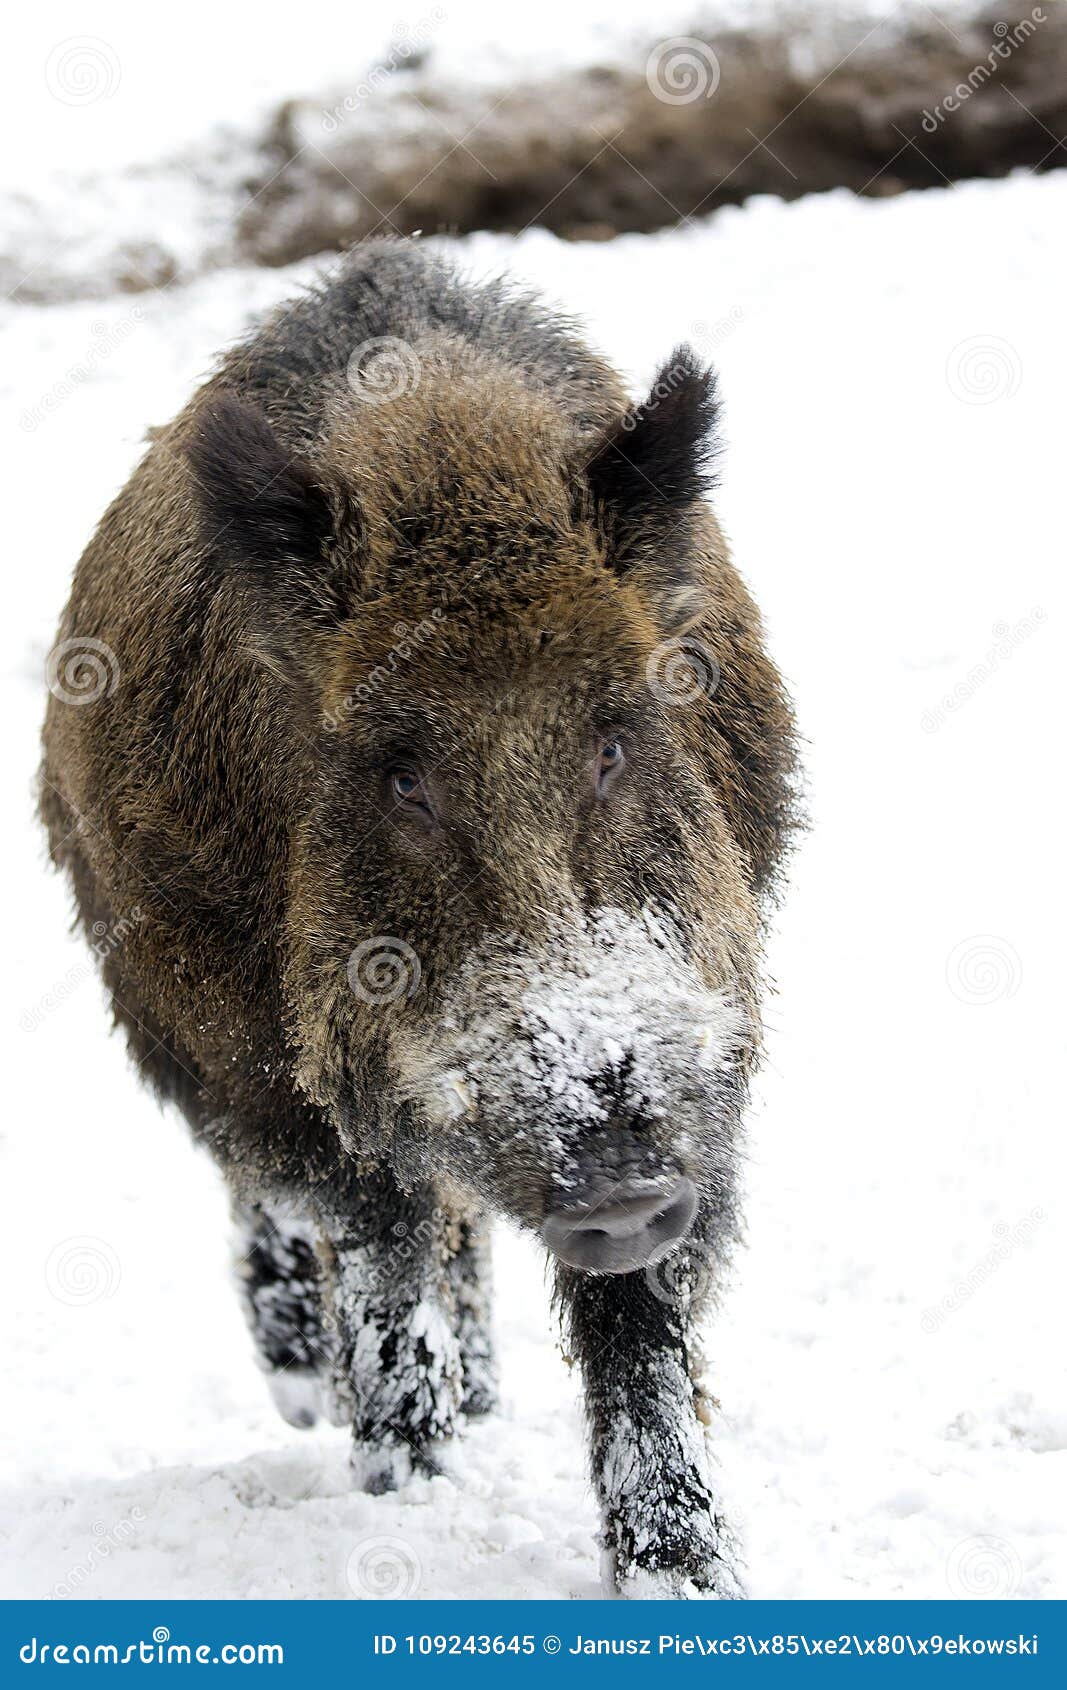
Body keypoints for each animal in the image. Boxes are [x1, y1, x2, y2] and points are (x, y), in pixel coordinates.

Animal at [40, 239, 799, 1598]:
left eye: (615, 738)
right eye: (401, 776)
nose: (615, 1182)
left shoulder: (694, 1059)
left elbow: (635, 1310)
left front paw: (681, 1576)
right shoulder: (273, 1043)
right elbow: (376, 1242)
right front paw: (407, 1487)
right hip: (177, 1016)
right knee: (285, 1199)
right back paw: (312, 1395)